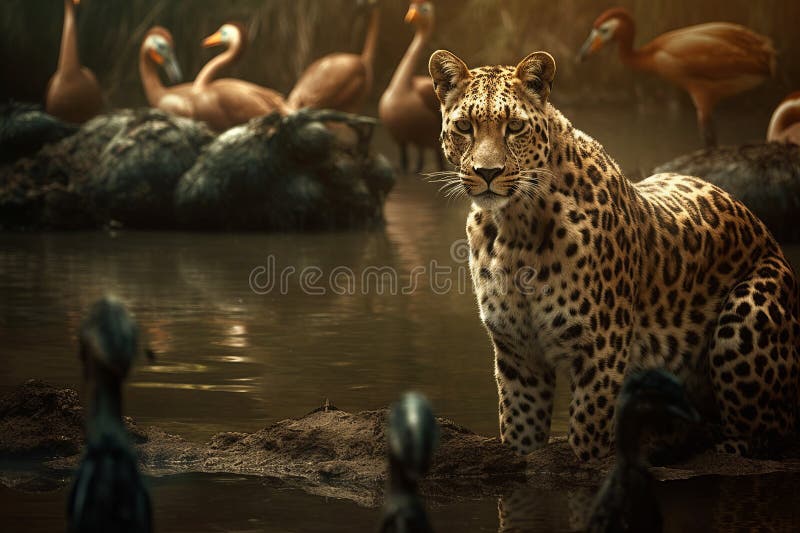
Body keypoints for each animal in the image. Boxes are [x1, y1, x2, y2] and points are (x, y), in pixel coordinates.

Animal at [427, 49, 800, 461]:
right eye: (464, 127)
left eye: (514, 127)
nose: (487, 172)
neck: (513, 229)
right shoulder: (519, 355)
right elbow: (520, 438)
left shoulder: (601, 352)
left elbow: (586, 445)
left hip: (745, 317)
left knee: (763, 434)